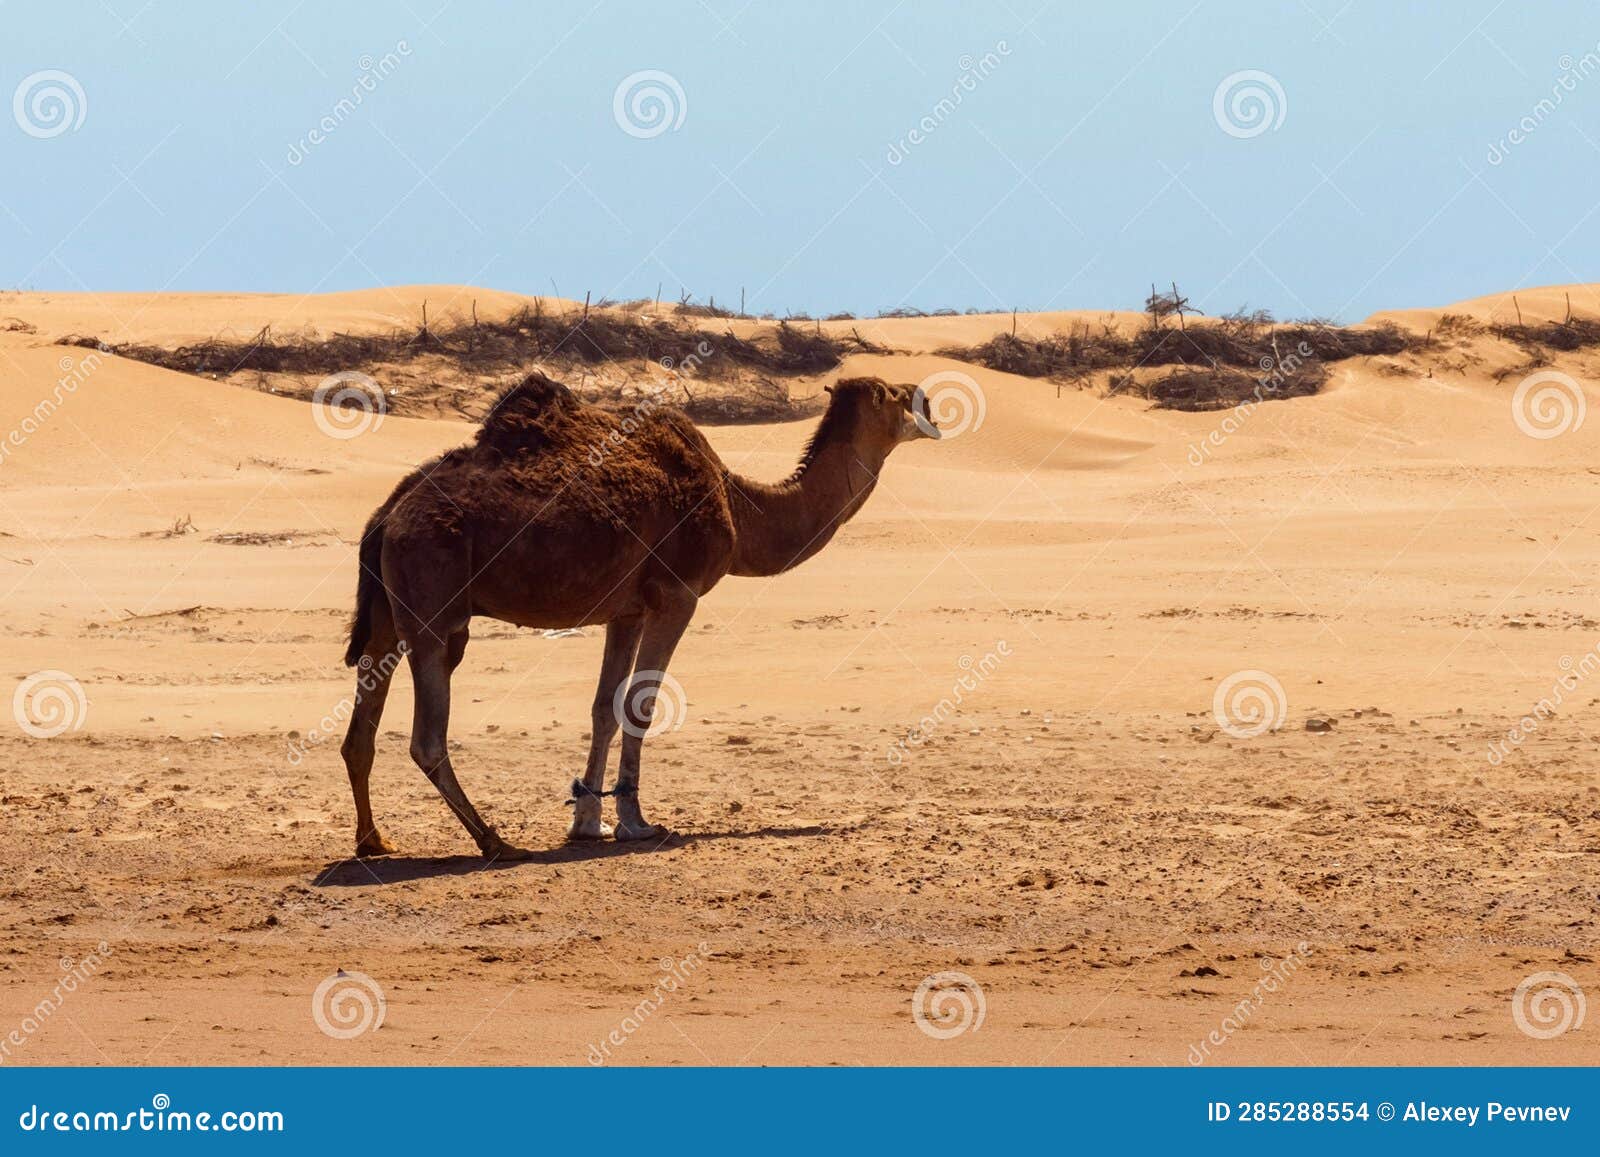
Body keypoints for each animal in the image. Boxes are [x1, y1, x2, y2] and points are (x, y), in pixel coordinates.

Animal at [338, 371, 939, 859]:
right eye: (892, 394)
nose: (926, 397)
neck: (739, 508)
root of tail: (388, 512)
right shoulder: (677, 594)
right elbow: (639, 707)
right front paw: (634, 821)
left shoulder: (623, 610)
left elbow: (603, 707)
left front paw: (588, 821)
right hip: (435, 603)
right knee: (427, 736)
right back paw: (495, 842)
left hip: (390, 614)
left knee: (361, 728)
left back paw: (374, 841)